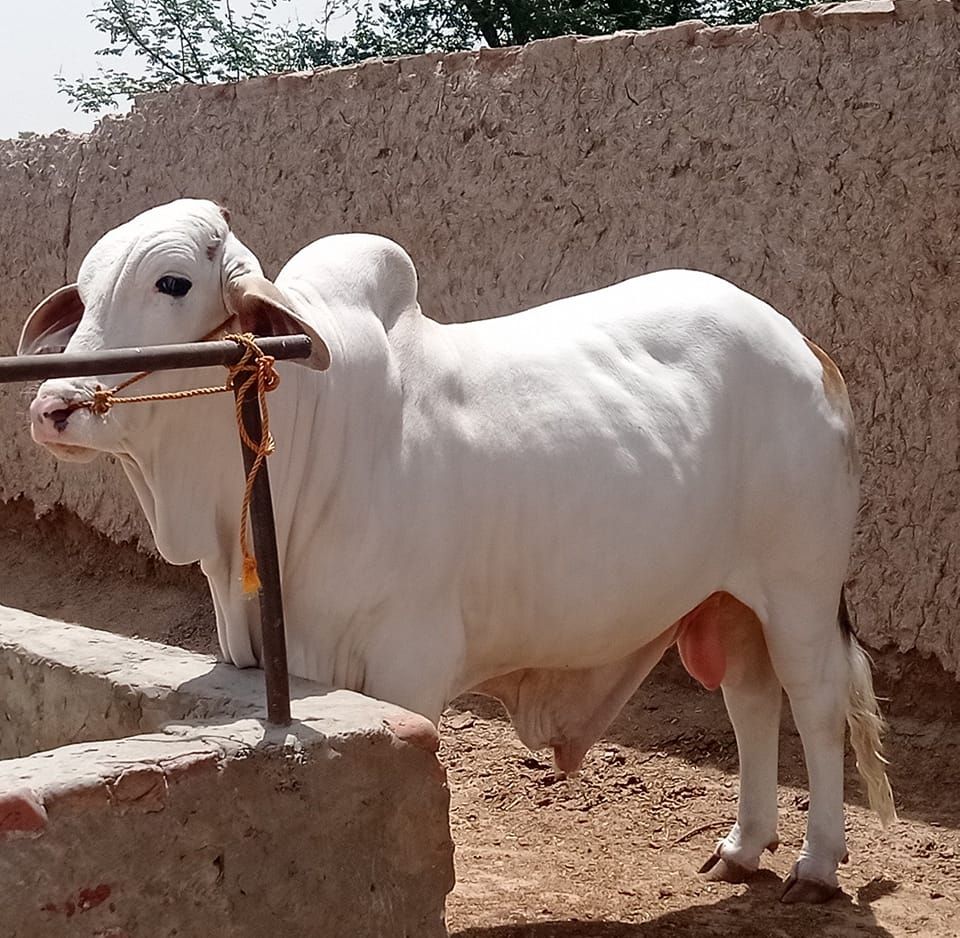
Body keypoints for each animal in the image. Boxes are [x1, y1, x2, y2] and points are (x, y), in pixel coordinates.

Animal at [21, 198, 894, 904]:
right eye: (86, 288)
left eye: (172, 283)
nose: (53, 407)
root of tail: (802, 344)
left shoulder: (408, 663)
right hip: (729, 597)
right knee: (750, 701)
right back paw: (743, 848)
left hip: (798, 587)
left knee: (814, 705)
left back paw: (817, 867)